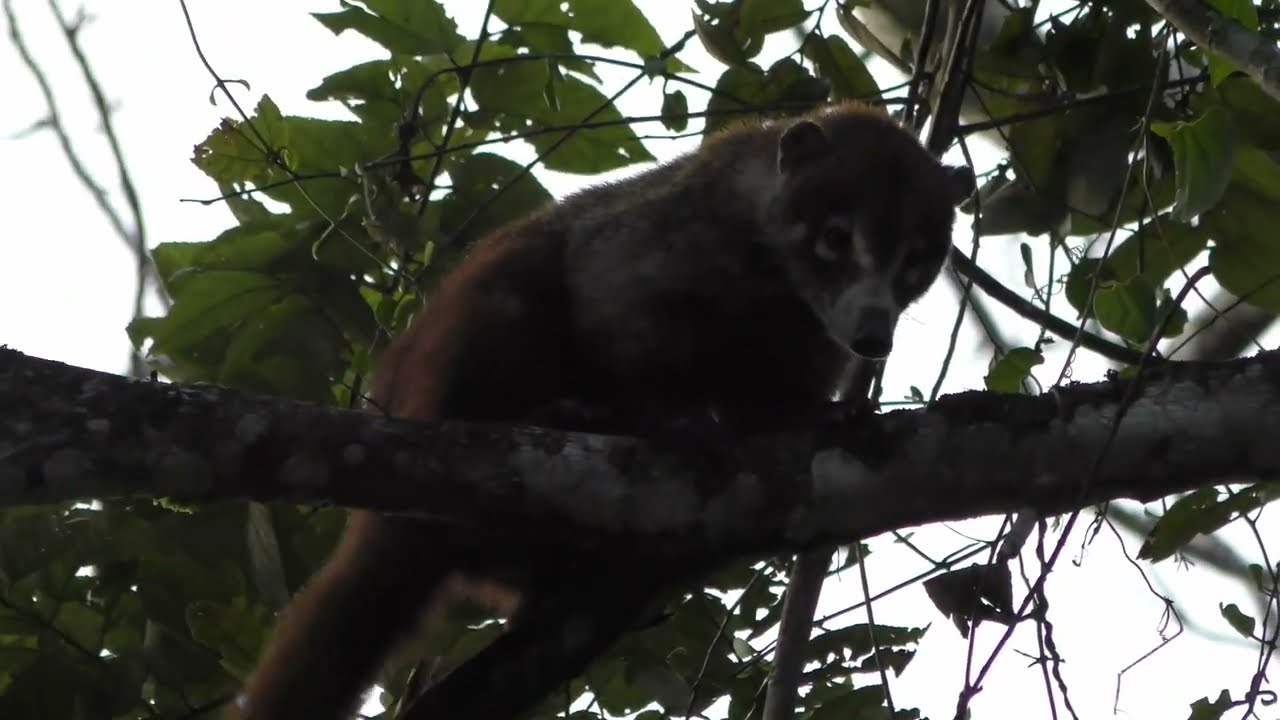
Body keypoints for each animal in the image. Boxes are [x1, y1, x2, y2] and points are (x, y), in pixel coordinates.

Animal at [225, 100, 975, 720]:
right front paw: (663, 414)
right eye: (836, 239)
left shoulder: (813, 336)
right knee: (516, 281)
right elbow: (612, 309)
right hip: (452, 365)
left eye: (914, 262)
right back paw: (560, 415)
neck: (785, 289)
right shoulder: (665, 232)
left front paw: (808, 417)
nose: (875, 338)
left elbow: (780, 399)